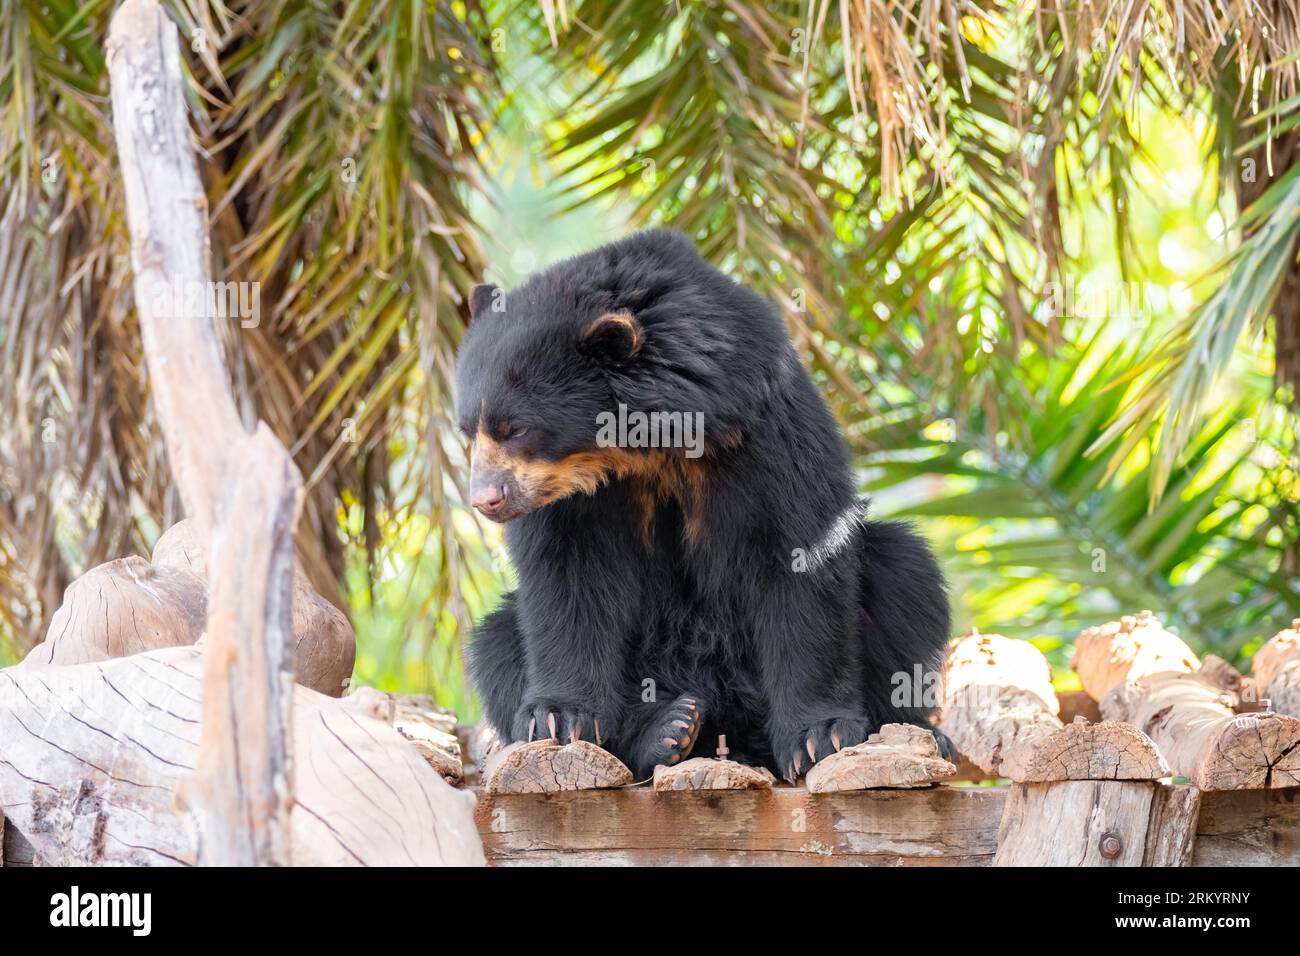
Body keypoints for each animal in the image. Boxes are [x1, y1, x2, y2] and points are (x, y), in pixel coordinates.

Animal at [455, 229, 951, 781]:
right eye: (469, 430)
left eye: (516, 429)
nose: (486, 501)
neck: (647, 447)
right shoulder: (572, 500)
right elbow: (567, 577)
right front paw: (557, 718)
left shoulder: (763, 427)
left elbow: (802, 554)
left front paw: (821, 734)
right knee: (496, 641)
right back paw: (668, 729)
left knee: (906, 572)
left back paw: (919, 732)